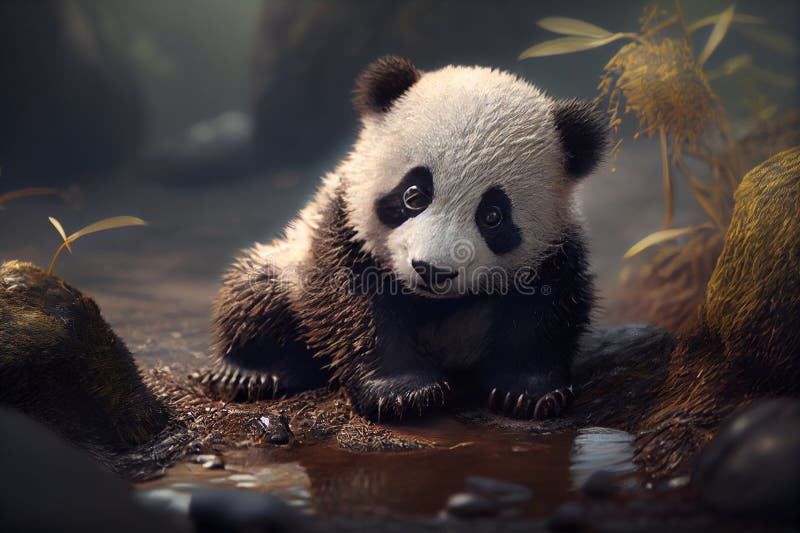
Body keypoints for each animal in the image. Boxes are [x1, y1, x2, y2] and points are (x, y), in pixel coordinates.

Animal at [207, 56, 607, 421]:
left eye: (493, 216)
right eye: (414, 194)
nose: (431, 270)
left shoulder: (556, 244)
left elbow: (547, 304)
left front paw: (528, 392)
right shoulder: (345, 224)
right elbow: (354, 302)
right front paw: (404, 392)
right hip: (291, 262)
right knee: (256, 293)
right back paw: (251, 372)